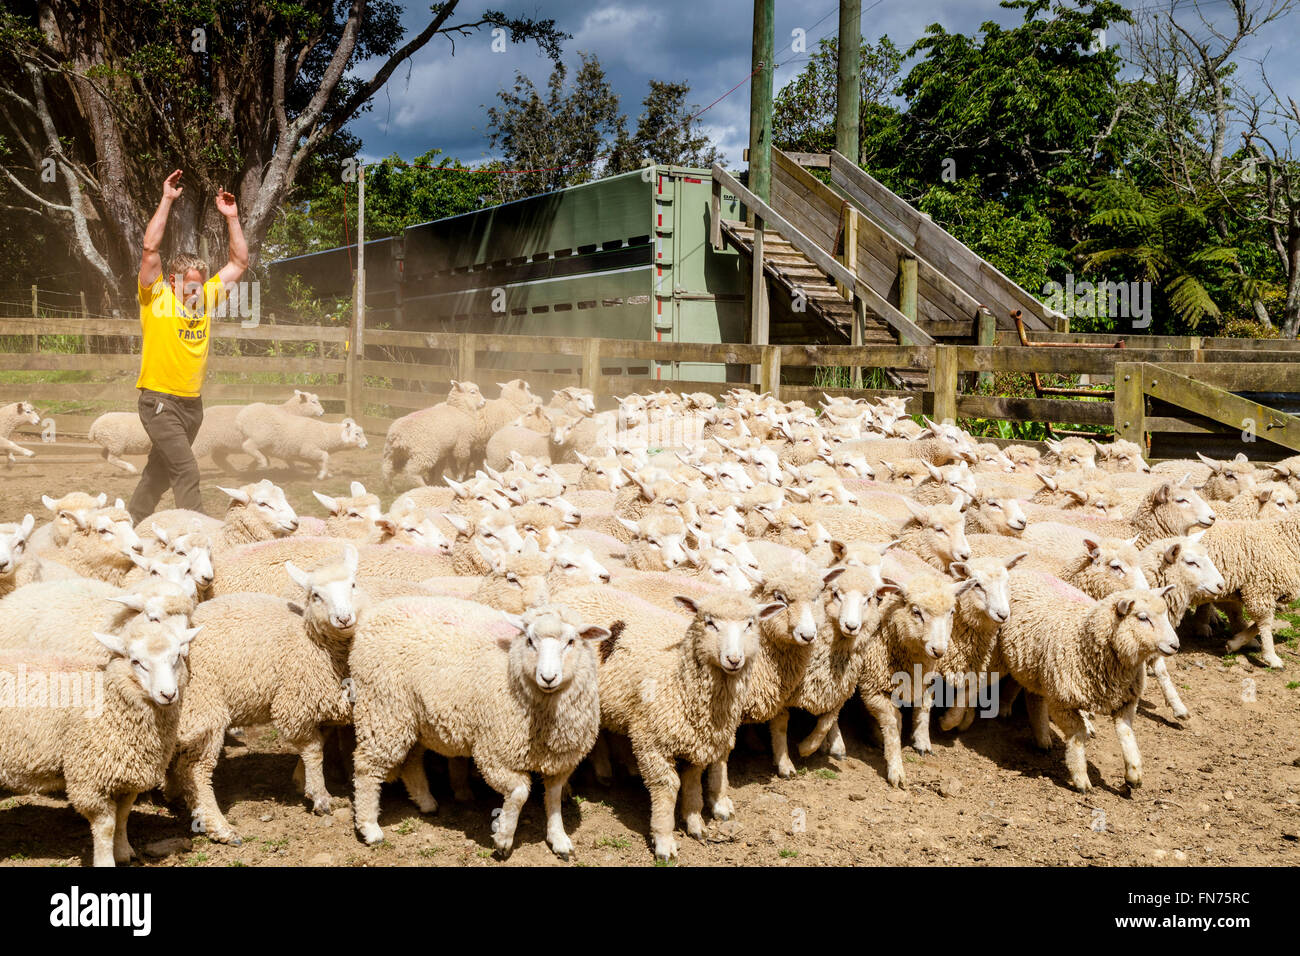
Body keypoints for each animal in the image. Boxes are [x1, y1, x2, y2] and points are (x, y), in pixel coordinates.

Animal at [0, 615, 199, 866]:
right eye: (136, 662)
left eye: (177, 658)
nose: (168, 694)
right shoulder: (90, 777)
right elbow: (106, 827)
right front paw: (106, 860)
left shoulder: (127, 775)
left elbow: (123, 817)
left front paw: (124, 851)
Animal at [170, 544, 365, 844]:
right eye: (316, 595)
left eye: (353, 584)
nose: (343, 618)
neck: (312, 642)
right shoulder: (294, 702)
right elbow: (313, 750)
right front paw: (320, 796)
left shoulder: (322, 700)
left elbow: (321, 740)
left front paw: (302, 781)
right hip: (203, 707)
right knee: (194, 769)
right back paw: (220, 827)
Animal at [235, 406, 367, 479]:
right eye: (357, 434)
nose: (366, 445)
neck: (326, 435)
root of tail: (241, 416)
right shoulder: (308, 449)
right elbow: (325, 456)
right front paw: (322, 475)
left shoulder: (304, 454)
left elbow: (316, 463)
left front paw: (325, 473)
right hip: (262, 437)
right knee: (247, 446)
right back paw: (262, 463)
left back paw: (253, 467)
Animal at [350, 601, 609, 859]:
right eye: (530, 640)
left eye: (571, 641)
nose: (548, 677)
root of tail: (379, 610)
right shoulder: (495, 754)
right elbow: (519, 793)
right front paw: (504, 838)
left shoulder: (562, 760)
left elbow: (554, 798)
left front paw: (559, 838)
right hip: (384, 709)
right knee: (366, 769)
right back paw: (370, 827)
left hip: (415, 719)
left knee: (411, 761)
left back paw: (426, 802)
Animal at [996, 580, 1179, 791]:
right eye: (1142, 617)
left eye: (1165, 614)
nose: (1175, 645)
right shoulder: (1062, 703)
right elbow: (1078, 736)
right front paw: (1080, 778)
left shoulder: (1126, 702)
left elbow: (1127, 734)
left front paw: (1133, 775)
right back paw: (1009, 711)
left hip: (1033, 665)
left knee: (1031, 694)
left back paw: (1039, 735)